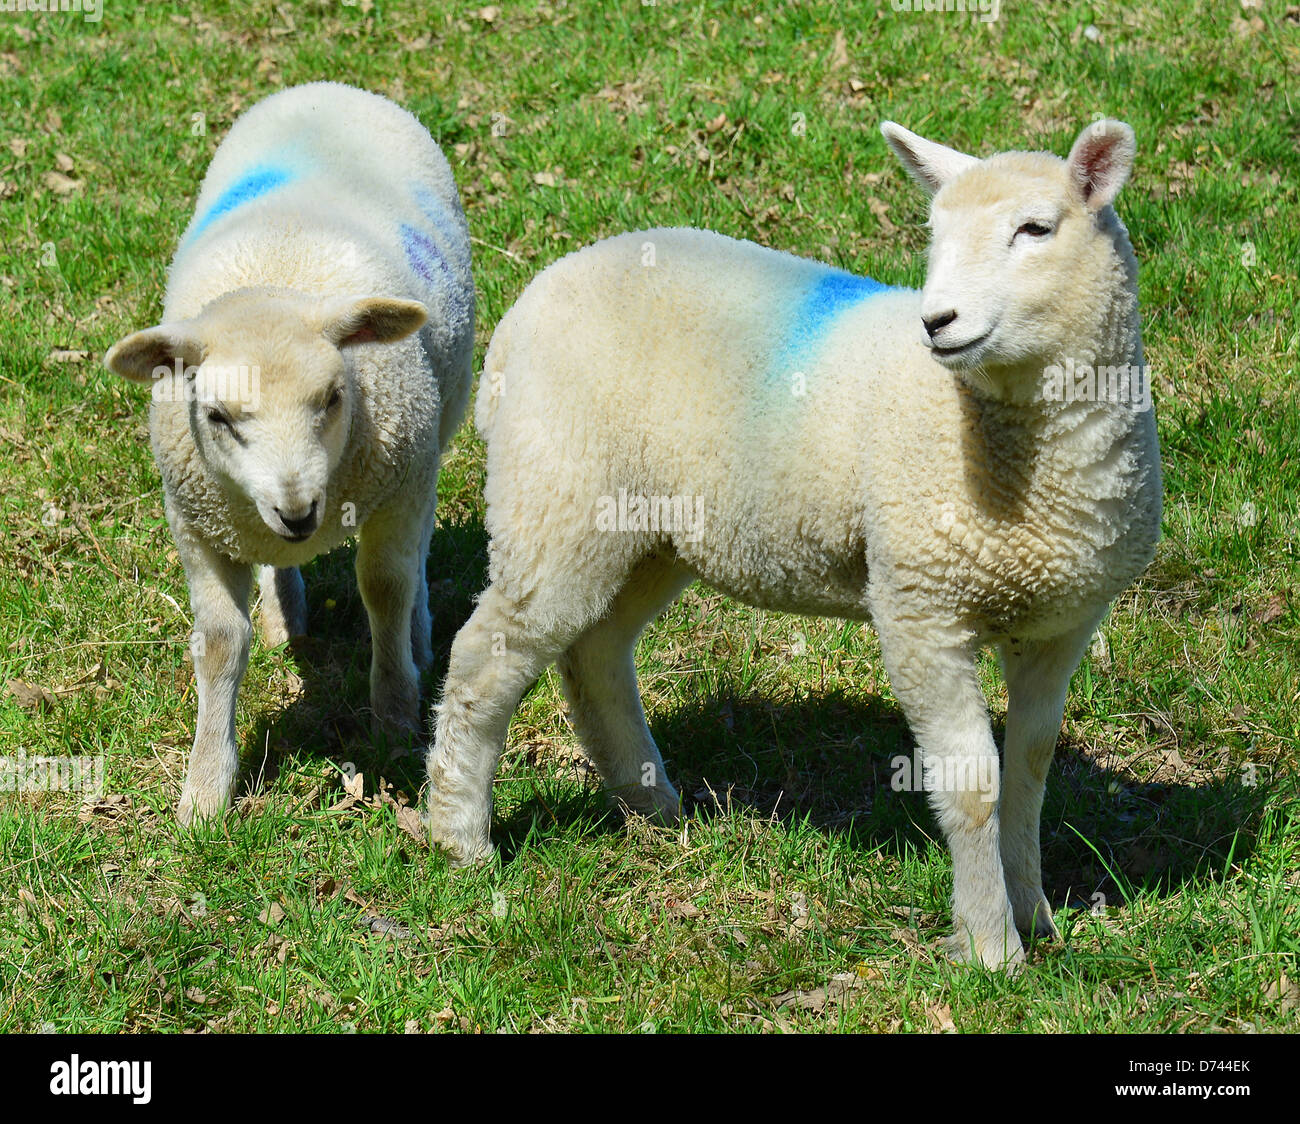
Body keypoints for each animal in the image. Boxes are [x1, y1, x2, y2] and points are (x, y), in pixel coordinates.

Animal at [103, 82, 474, 825]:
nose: (300, 513)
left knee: (416, 556)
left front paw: (396, 716)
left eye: (333, 397)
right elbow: (220, 641)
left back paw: (420, 636)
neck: (277, 279)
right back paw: (284, 617)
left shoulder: (397, 488)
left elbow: (386, 591)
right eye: (217, 417)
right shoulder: (196, 523)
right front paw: (206, 789)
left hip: (432, 442)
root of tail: (325, 86)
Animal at [424, 118, 1162, 970]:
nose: (936, 322)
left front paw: (1036, 915)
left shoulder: (1060, 622)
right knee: (485, 659)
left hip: (645, 532)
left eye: (1036, 229)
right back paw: (460, 838)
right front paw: (991, 949)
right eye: (934, 234)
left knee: (595, 652)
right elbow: (972, 782)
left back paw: (653, 806)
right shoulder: (919, 607)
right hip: (555, 500)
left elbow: (1031, 770)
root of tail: (527, 306)